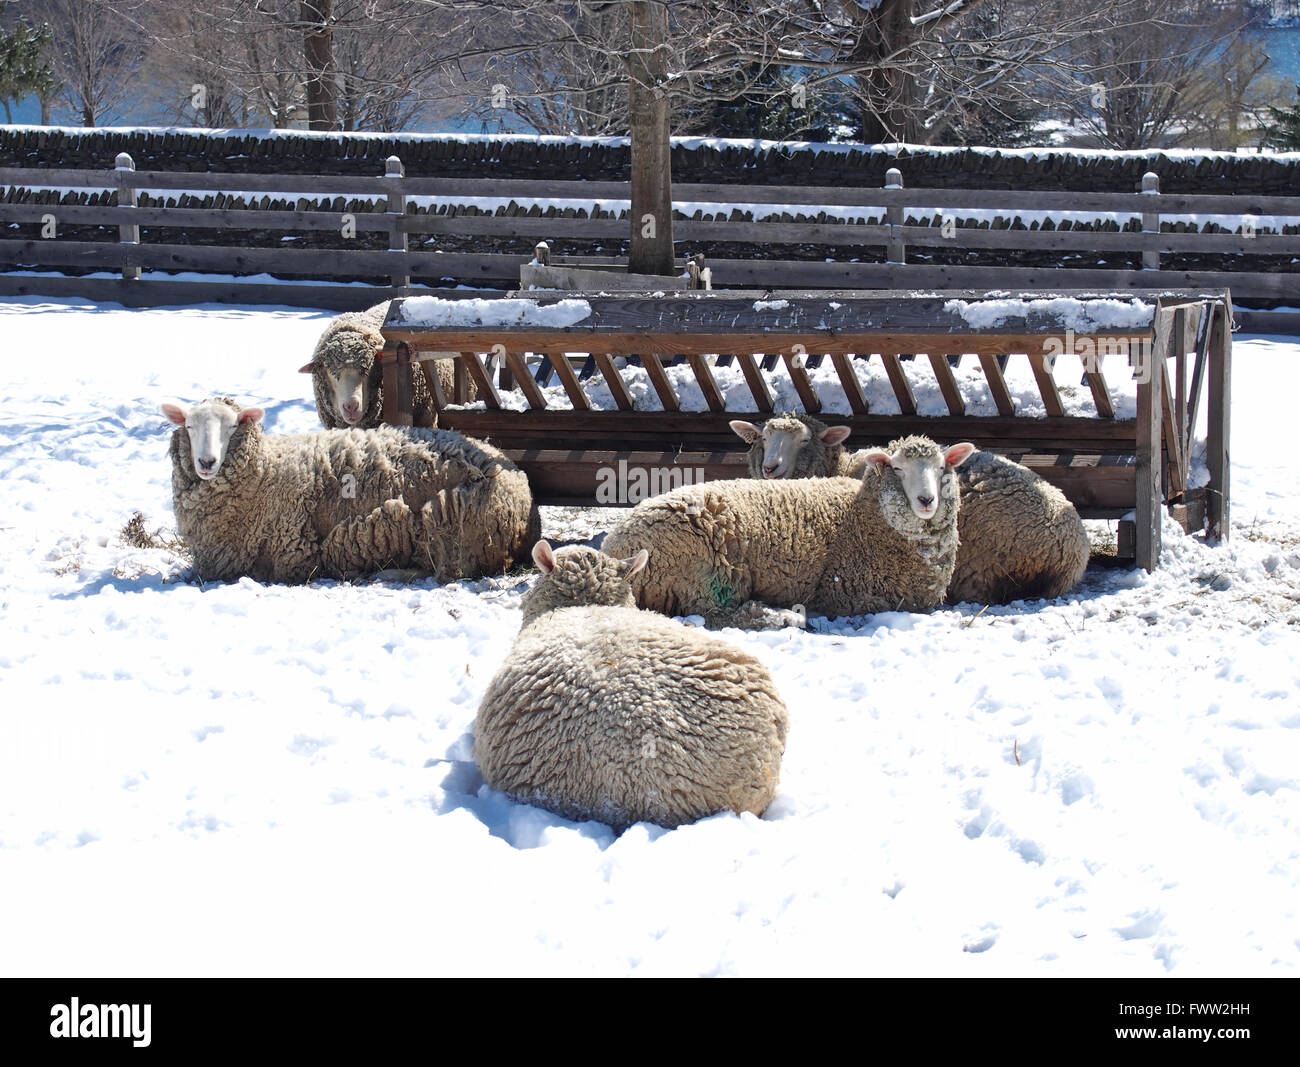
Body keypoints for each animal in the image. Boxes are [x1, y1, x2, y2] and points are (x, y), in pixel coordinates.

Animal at [162, 397, 539, 584]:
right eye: (189, 426)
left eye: (231, 427)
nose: (206, 462)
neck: (268, 471)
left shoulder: (294, 559)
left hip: (448, 523)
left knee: (450, 570)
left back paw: (387, 572)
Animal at [602, 435, 975, 628]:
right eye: (897, 468)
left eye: (942, 467)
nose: (926, 500)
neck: (863, 517)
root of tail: (613, 548)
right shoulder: (847, 594)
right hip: (705, 571)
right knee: (718, 614)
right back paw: (783, 617)